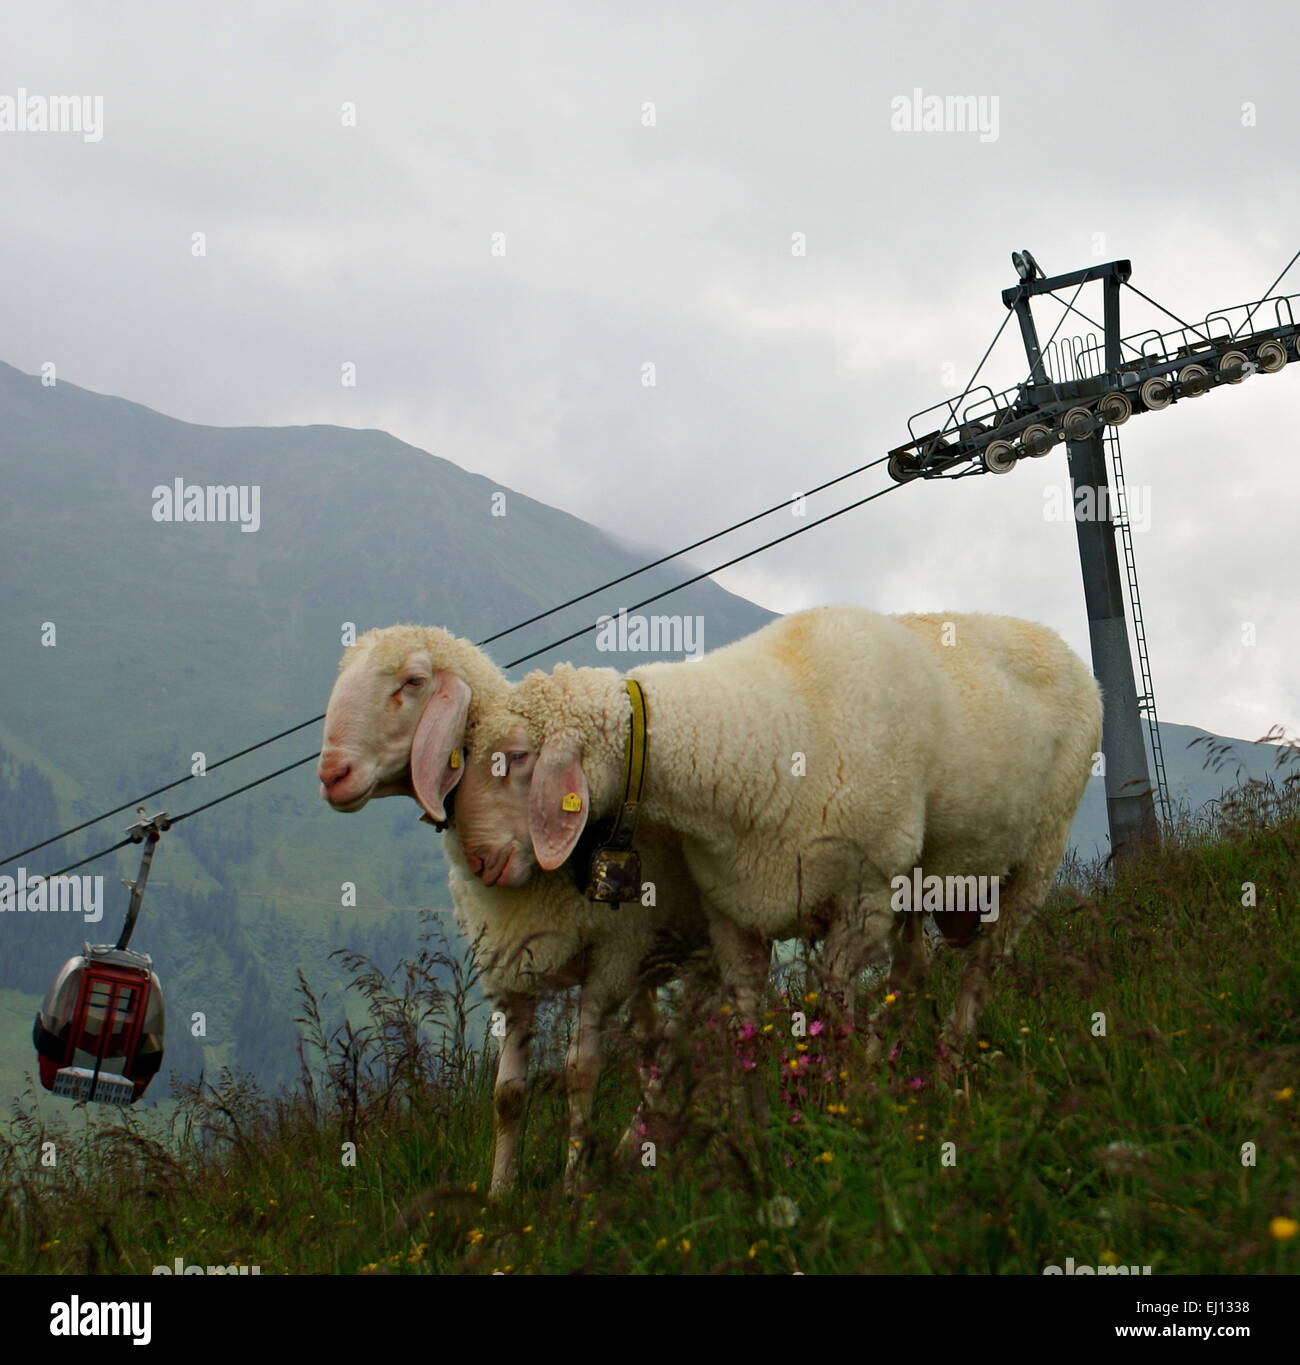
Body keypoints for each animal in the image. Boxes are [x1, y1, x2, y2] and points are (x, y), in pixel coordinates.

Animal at [317, 625, 707, 1194]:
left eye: (413, 682)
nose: (332, 773)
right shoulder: (509, 966)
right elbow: (507, 1096)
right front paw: (501, 1192)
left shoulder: (611, 957)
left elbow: (581, 1071)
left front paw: (573, 1186)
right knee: (655, 1042)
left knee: (687, 1034)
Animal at [458, 606, 1102, 1081]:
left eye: (516, 756)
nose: (479, 860)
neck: (766, 730)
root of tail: (1059, 643)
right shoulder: (732, 913)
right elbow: (747, 1024)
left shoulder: (860, 904)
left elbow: (835, 1014)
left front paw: (842, 1105)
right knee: (911, 974)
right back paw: (891, 1065)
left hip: (1036, 858)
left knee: (979, 974)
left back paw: (946, 1068)